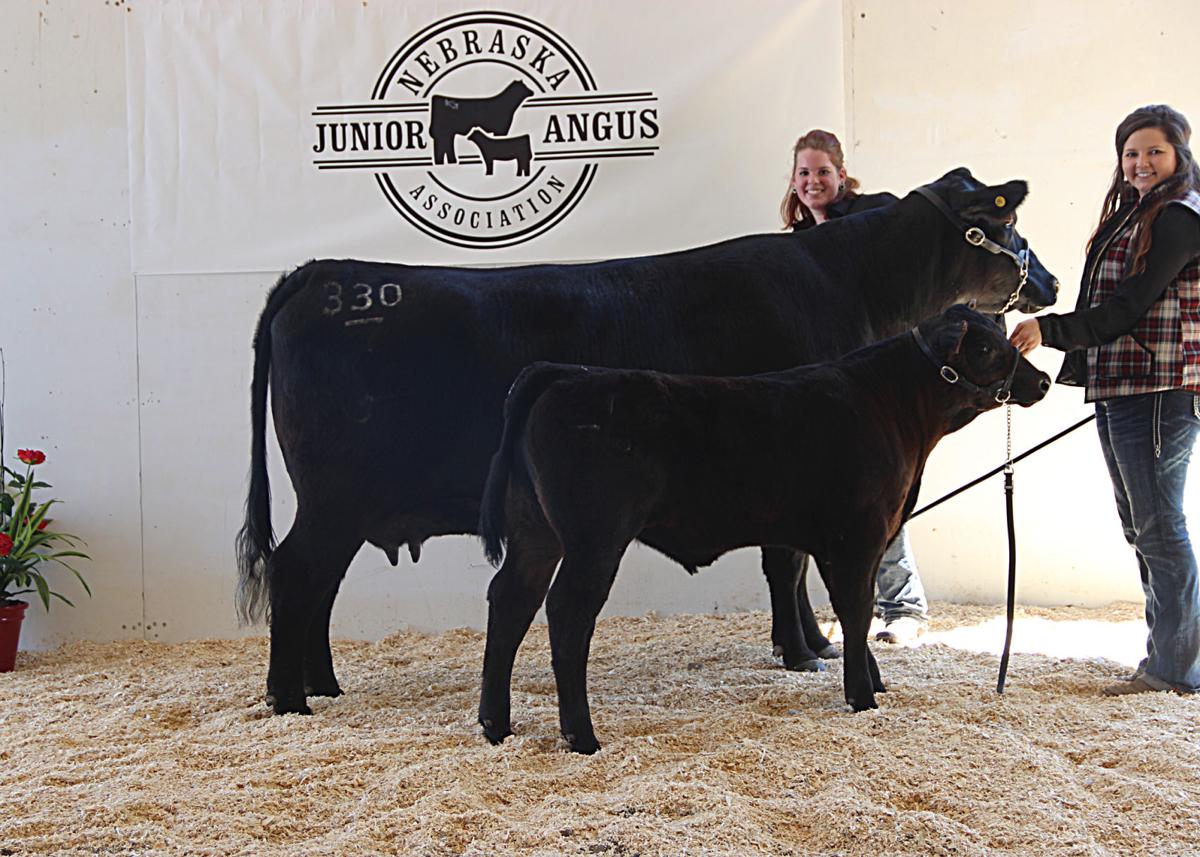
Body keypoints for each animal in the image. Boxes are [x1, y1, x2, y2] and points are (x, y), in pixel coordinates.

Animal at [477, 306, 1051, 753]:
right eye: (986, 348)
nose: (1043, 381)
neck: (893, 410)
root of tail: (564, 373)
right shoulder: (857, 536)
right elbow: (854, 611)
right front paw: (863, 696)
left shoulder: (828, 540)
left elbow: (843, 608)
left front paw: (869, 680)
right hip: (594, 539)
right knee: (567, 614)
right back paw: (582, 737)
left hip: (536, 533)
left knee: (510, 601)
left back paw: (495, 725)